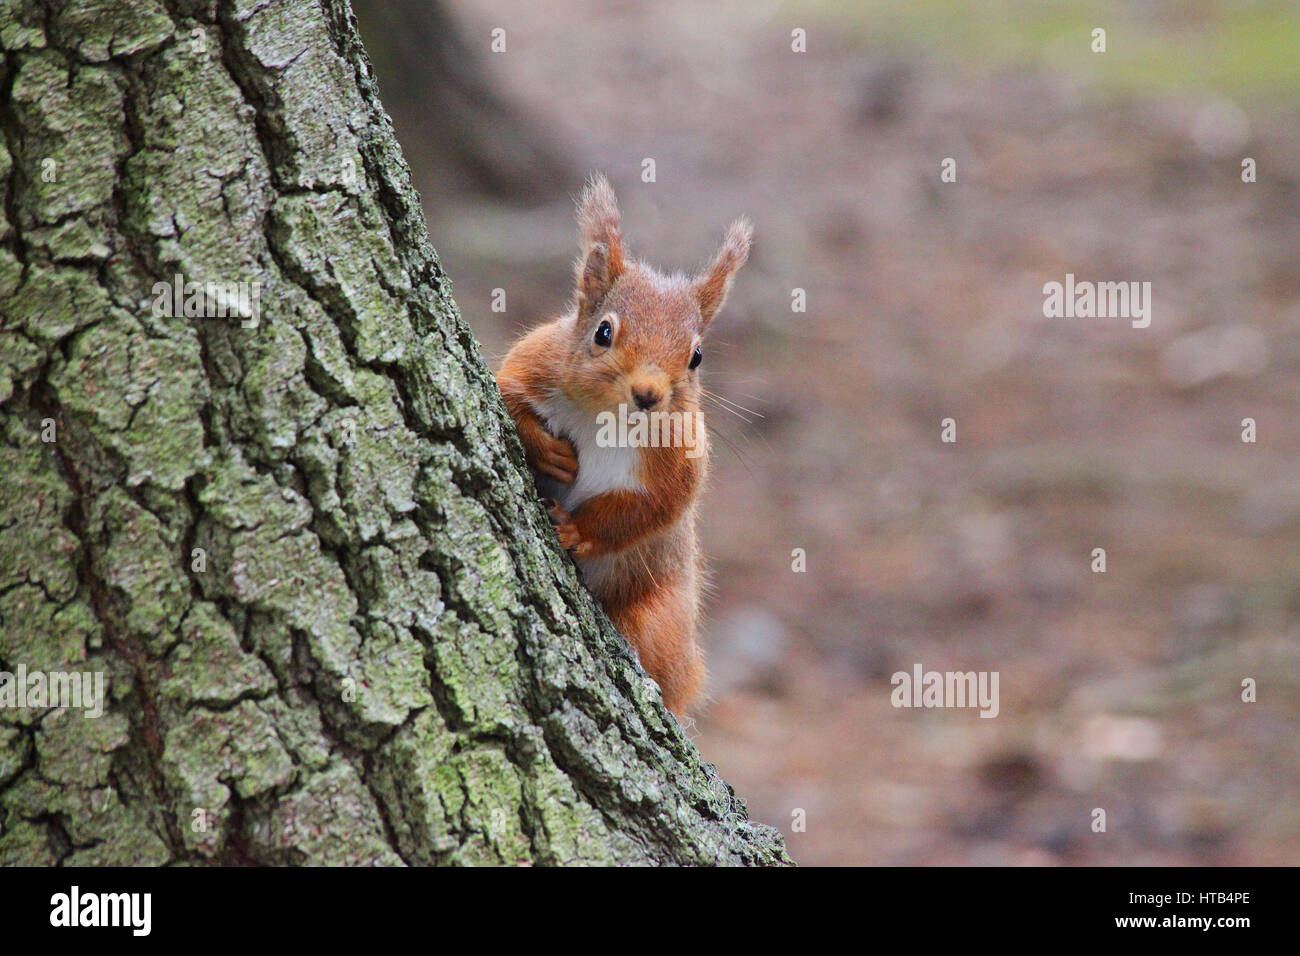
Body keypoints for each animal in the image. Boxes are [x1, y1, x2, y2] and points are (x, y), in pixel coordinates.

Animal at [496, 175, 752, 716]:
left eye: (697, 356)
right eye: (603, 331)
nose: (648, 394)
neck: (608, 420)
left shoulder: (678, 461)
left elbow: (647, 511)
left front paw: (577, 529)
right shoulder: (535, 364)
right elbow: (508, 394)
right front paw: (548, 451)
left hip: (656, 617)